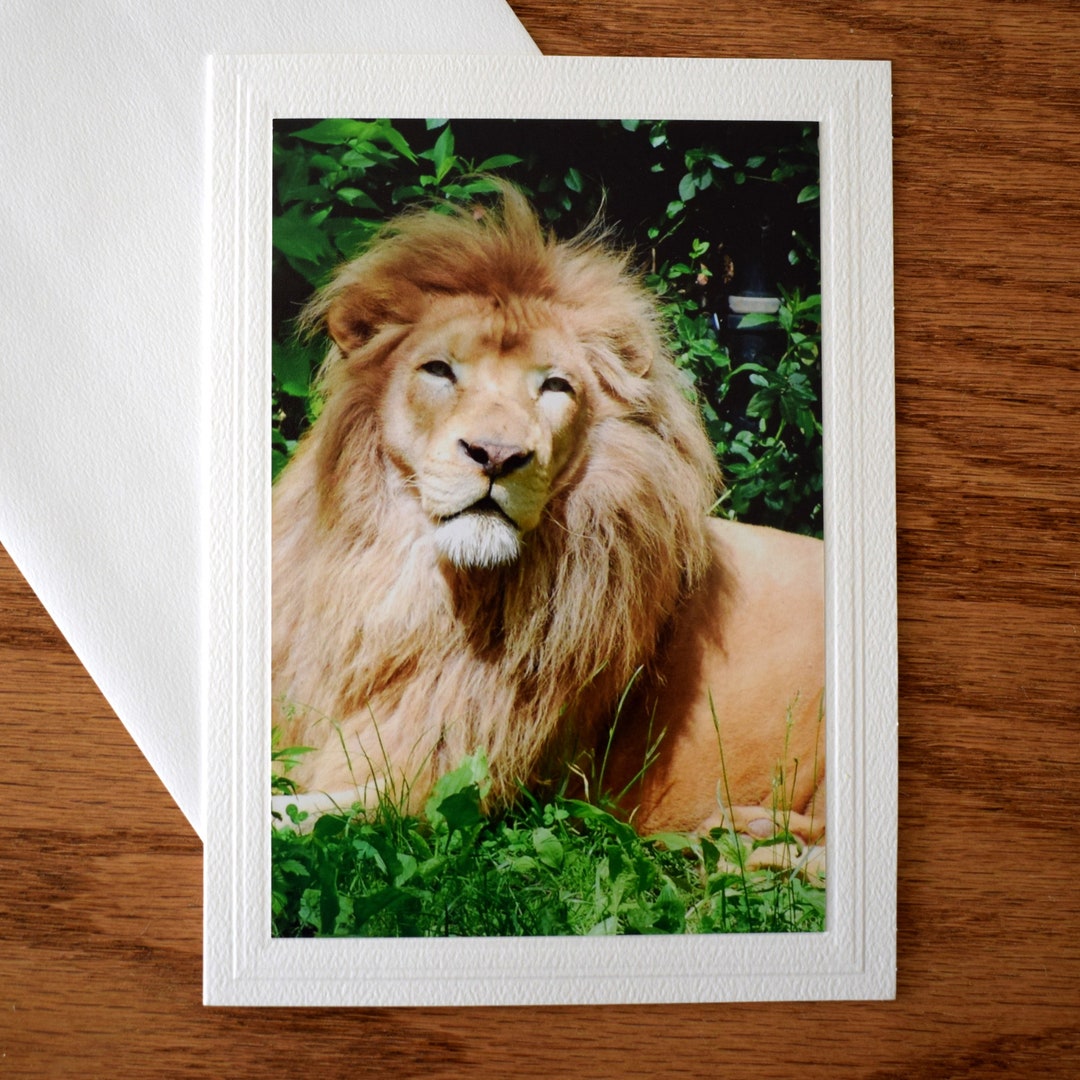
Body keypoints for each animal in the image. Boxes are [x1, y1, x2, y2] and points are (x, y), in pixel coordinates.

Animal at [271, 183, 825, 847]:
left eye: (555, 386)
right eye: (439, 371)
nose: (496, 455)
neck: (417, 597)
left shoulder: (447, 786)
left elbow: (296, 815)